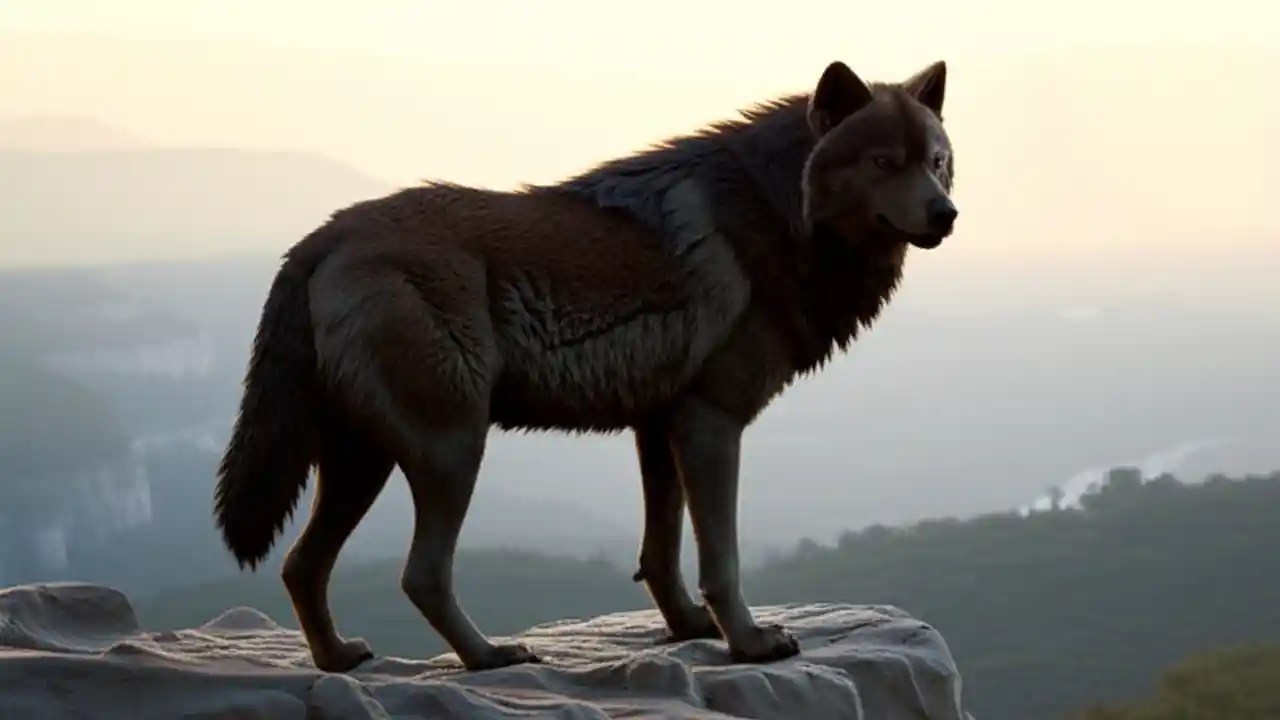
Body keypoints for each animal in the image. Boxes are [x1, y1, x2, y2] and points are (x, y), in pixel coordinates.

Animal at [214, 59, 958, 673]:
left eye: (938, 162)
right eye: (885, 161)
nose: (946, 213)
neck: (781, 209)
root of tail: (318, 238)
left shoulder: (662, 428)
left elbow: (660, 555)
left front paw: (688, 628)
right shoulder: (712, 424)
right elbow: (722, 559)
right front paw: (748, 643)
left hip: (362, 462)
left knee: (300, 566)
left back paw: (338, 658)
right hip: (452, 449)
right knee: (419, 574)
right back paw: (489, 657)